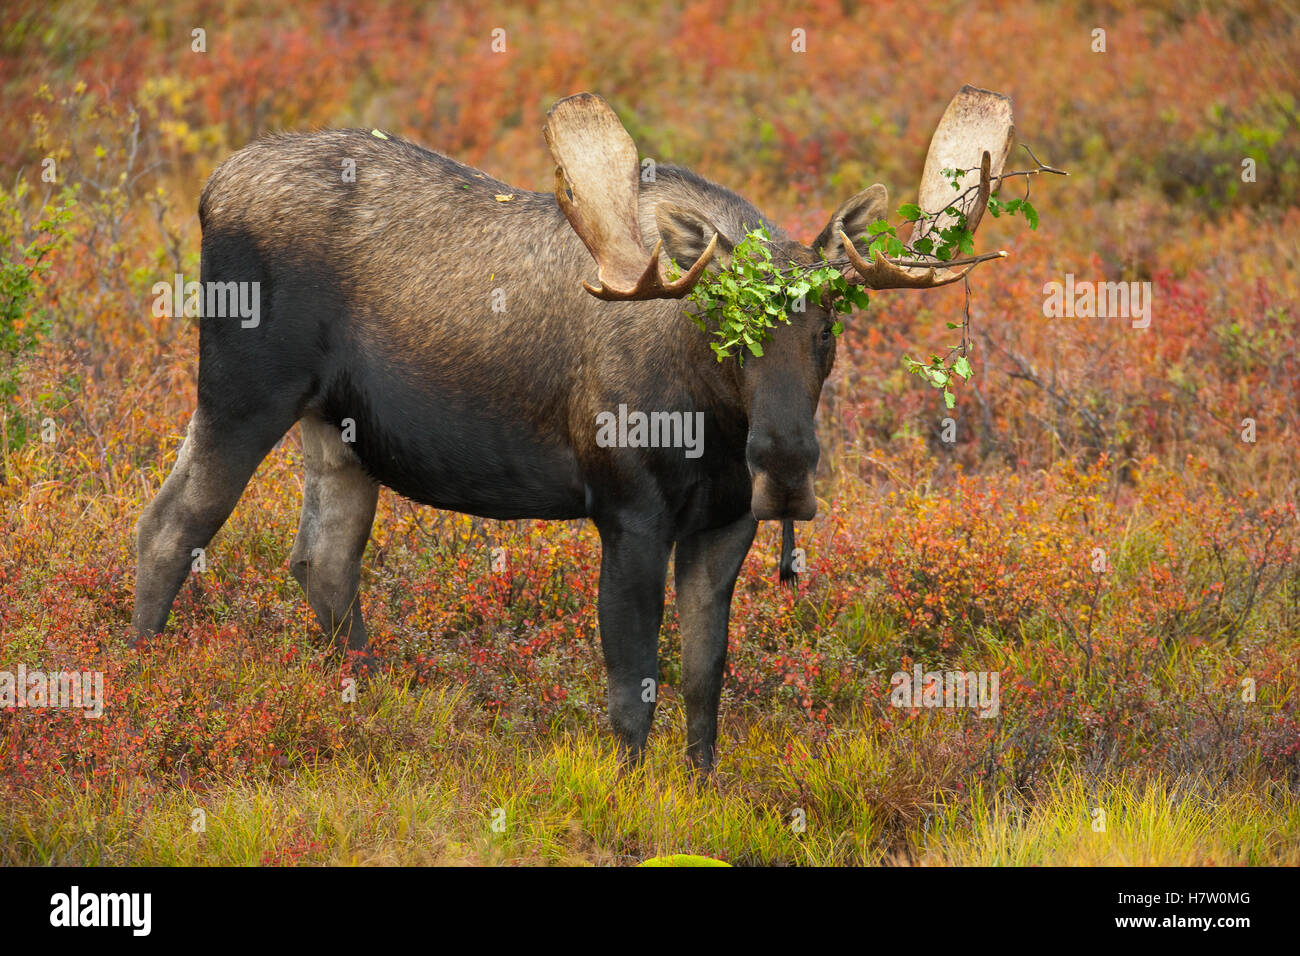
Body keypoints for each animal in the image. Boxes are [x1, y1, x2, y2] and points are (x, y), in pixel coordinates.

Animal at [132, 86, 1015, 771]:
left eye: (830, 325)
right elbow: (631, 689)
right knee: (170, 525)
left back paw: (366, 699)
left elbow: (704, 680)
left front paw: (701, 787)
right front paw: (629, 792)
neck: (710, 424)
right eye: (724, 327)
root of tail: (210, 189)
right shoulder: (626, 512)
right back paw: (142, 676)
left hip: (338, 431)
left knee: (322, 560)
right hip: (242, 391)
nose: (787, 466)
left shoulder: (726, 522)